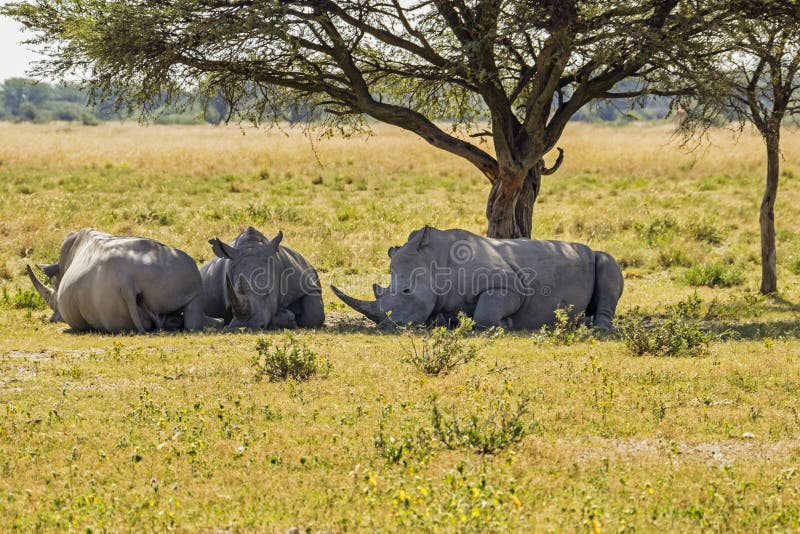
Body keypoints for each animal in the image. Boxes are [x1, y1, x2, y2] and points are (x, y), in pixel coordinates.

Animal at [331, 226, 623, 330]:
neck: (436, 262)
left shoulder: (510, 286)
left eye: (406, 291)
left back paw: (598, 329)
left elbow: (485, 315)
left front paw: (504, 325)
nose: (387, 325)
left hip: (597, 256)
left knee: (607, 262)